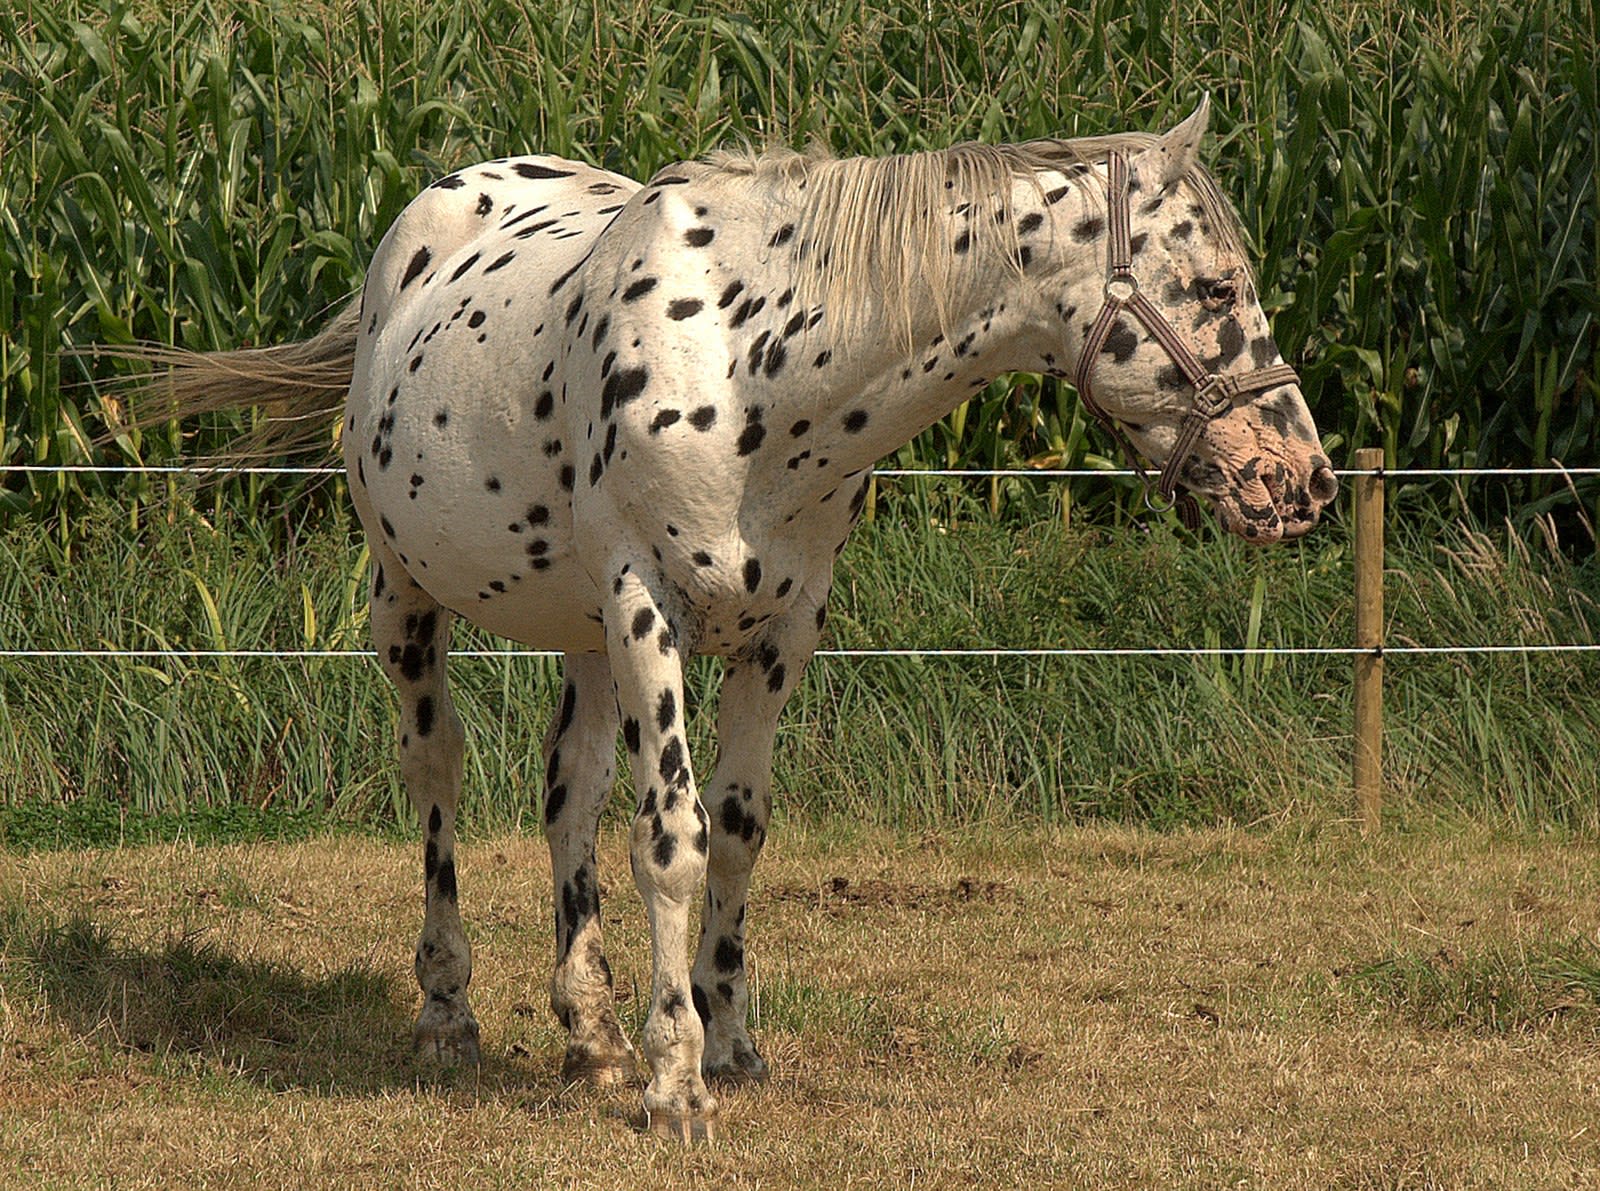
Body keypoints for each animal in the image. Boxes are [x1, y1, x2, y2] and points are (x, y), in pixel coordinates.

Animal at [120, 97, 1337, 1139]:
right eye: (1215, 288)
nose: (1302, 481)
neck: (752, 361)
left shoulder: (782, 630)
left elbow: (739, 829)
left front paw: (723, 1043)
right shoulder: (645, 609)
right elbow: (673, 838)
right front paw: (673, 1086)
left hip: (579, 633)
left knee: (567, 791)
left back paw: (590, 1031)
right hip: (407, 597)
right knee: (439, 775)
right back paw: (449, 1014)